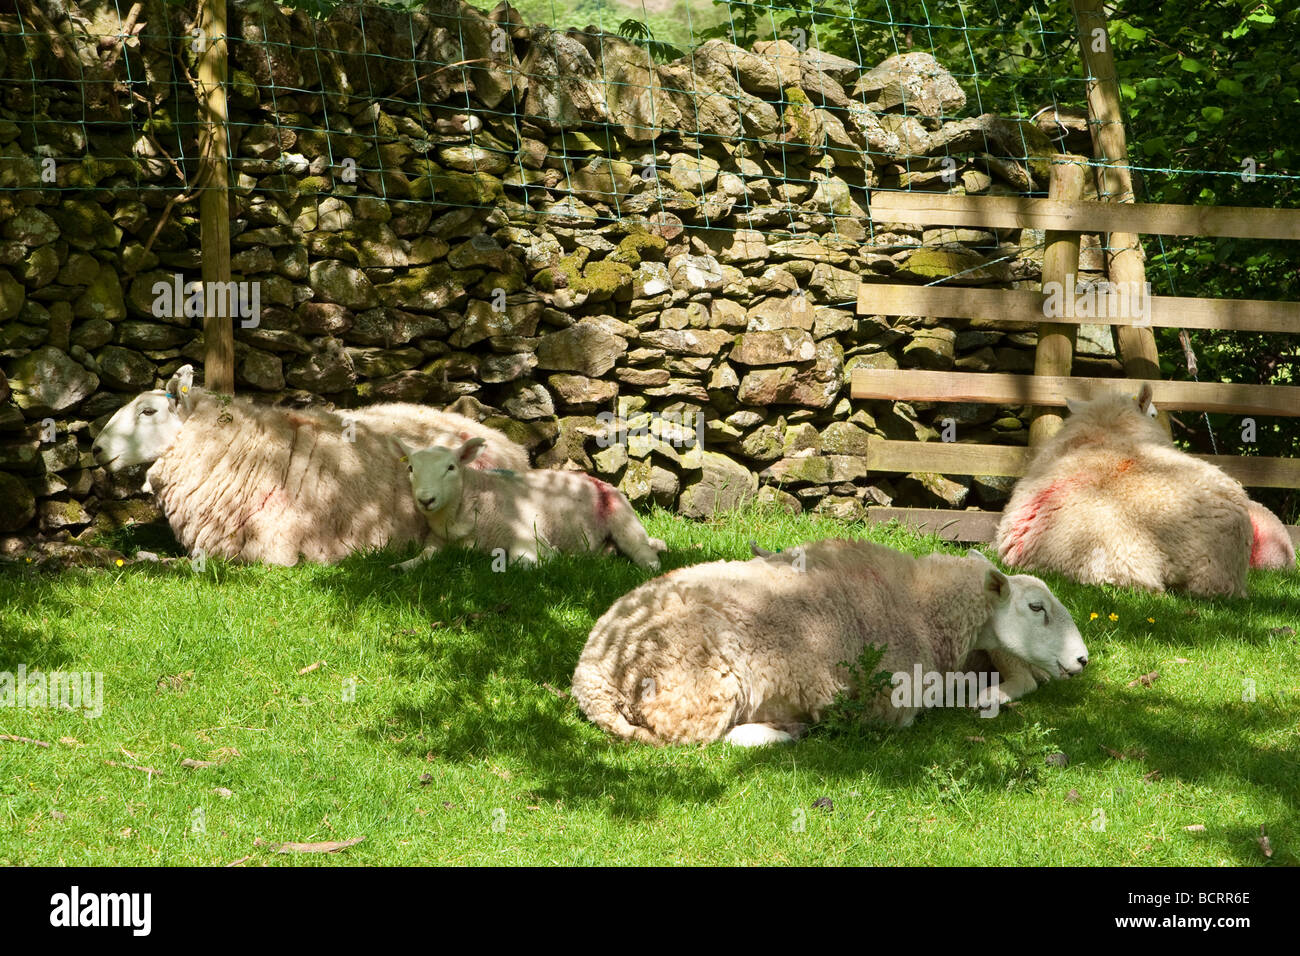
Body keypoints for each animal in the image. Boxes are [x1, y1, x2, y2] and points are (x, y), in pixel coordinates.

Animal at [391, 436, 667, 572]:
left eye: (451, 467)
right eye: (410, 468)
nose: (426, 499)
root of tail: (596, 480)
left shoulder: (528, 537)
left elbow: (521, 562)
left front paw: (553, 556)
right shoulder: (436, 542)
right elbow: (422, 556)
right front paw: (401, 566)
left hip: (623, 520)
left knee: (645, 554)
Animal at [571, 540, 1088, 746]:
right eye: (1037, 608)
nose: (1083, 659)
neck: (918, 601)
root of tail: (592, 675)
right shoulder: (893, 697)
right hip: (699, 692)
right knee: (709, 739)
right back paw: (783, 731)